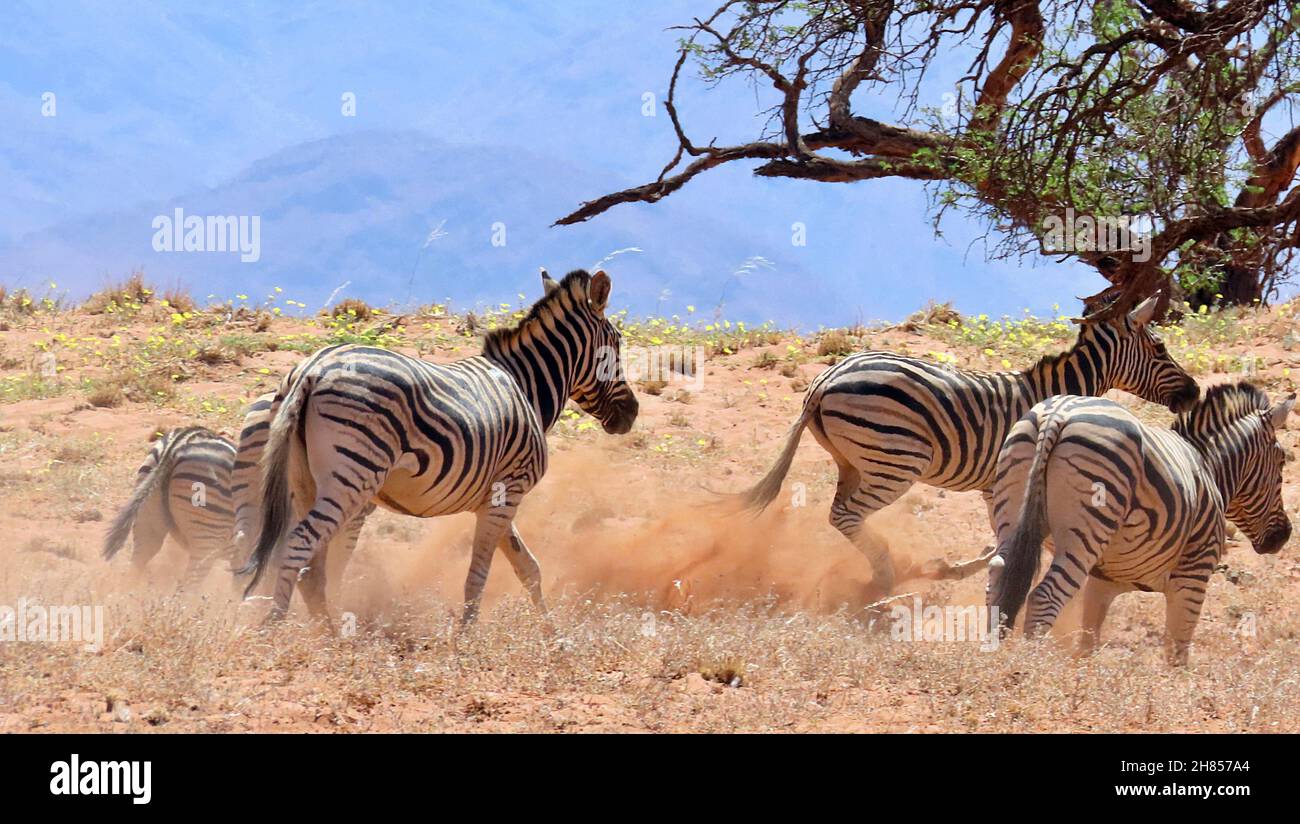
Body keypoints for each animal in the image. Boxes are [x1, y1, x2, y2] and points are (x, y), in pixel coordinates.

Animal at [239, 268, 638, 625]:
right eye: (617, 346)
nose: (632, 412)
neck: (525, 387)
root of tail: (312, 369)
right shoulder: (509, 490)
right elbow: (478, 577)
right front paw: (466, 639)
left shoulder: (494, 500)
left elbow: (528, 568)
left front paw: (551, 633)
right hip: (352, 477)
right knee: (300, 545)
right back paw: (276, 628)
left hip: (303, 480)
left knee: (311, 567)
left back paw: (327, 634)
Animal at [734, 294, 1199, 598]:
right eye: (1160, 347)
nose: (1194, 393)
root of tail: (828, 377)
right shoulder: (1013, 483)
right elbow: (1011, 538)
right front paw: (963, 569)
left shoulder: (996, 486)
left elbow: (1005, 536)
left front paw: (957, 568)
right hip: (896, 461)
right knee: (846, 515)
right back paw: (887, 573)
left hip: (854, 461)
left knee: (842, 513)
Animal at [987, 382, 1293, 665]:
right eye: (1281, 462)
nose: (1284, 535)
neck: (1209, 466)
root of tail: (1057, 414)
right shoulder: (1194, 575)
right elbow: (1177, 656)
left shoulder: (1103, 580)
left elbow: (1089, 641)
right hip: (1084, 535)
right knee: (1043, 597)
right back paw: (1029, 665)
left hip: (1011, 517)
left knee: (997, 584)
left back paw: (992, 656)